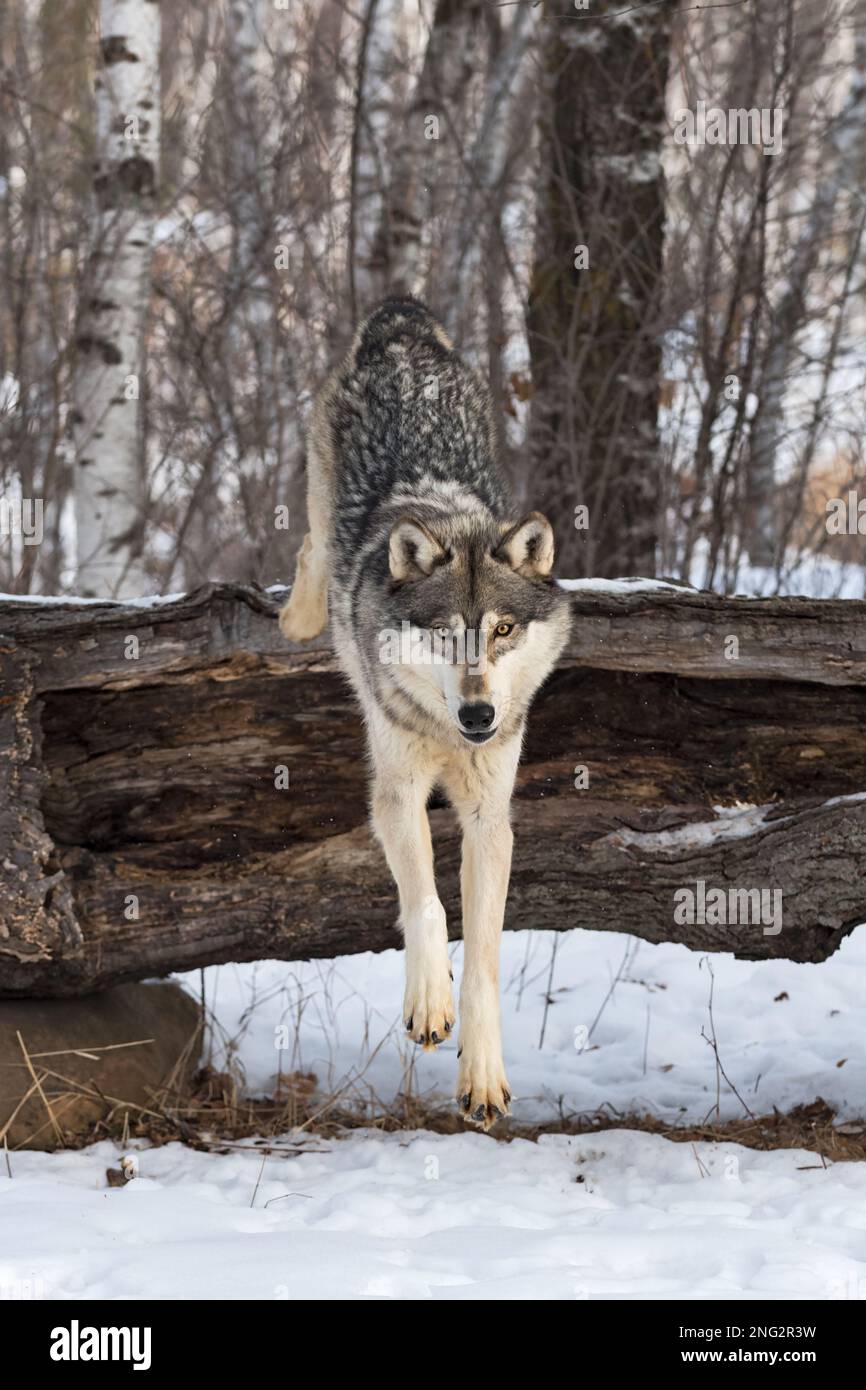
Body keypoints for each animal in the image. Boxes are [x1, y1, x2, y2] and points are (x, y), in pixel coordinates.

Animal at [280, 297, 571, 1128]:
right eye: (445, 633)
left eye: (502, 631)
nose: (478, 717)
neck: (448, 734)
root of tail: (401, 322)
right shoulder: (398, 793)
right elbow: (429, 907)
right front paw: (429, 1006)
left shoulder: (489, 818)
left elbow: (484, 958)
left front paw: (482, 1075)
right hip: (321, 492)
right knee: (313, 546)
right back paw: (301, 619)